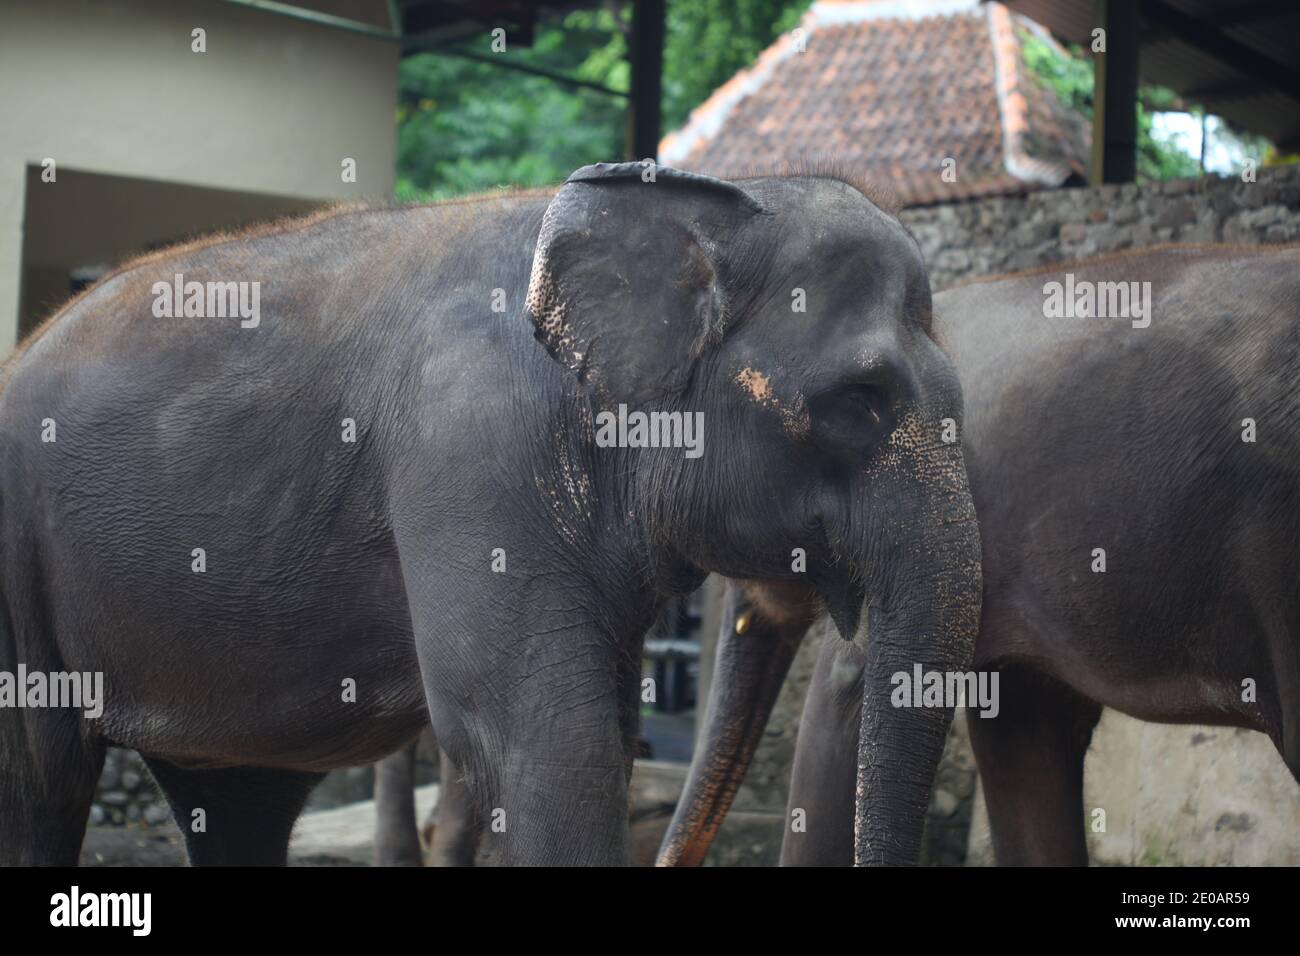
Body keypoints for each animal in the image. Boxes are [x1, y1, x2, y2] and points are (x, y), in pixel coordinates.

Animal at [0, 161, 981, 866]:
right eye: (859, 401)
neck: (714, 197)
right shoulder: (470, 452)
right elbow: (551, 745)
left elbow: (597, 731)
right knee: (39, 779)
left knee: (238, 802)